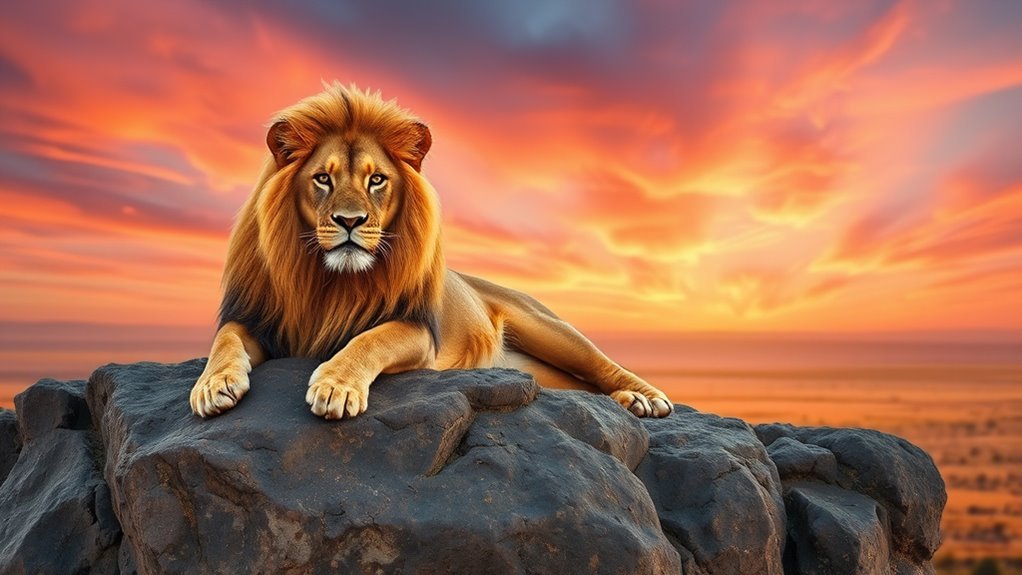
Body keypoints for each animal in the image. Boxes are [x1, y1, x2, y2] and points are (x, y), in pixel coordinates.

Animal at [190, 83, 673, 421]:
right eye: (323, 179)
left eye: (377, 180)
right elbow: (225, 338)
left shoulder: (417, 331)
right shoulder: (259, 317)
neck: (328, 279)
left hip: (547, 326)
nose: (350, 221)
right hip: (532, 370)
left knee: (601, 363)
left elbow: (368, 340)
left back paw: (644, 398)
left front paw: (336, 385)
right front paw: (213, 385)